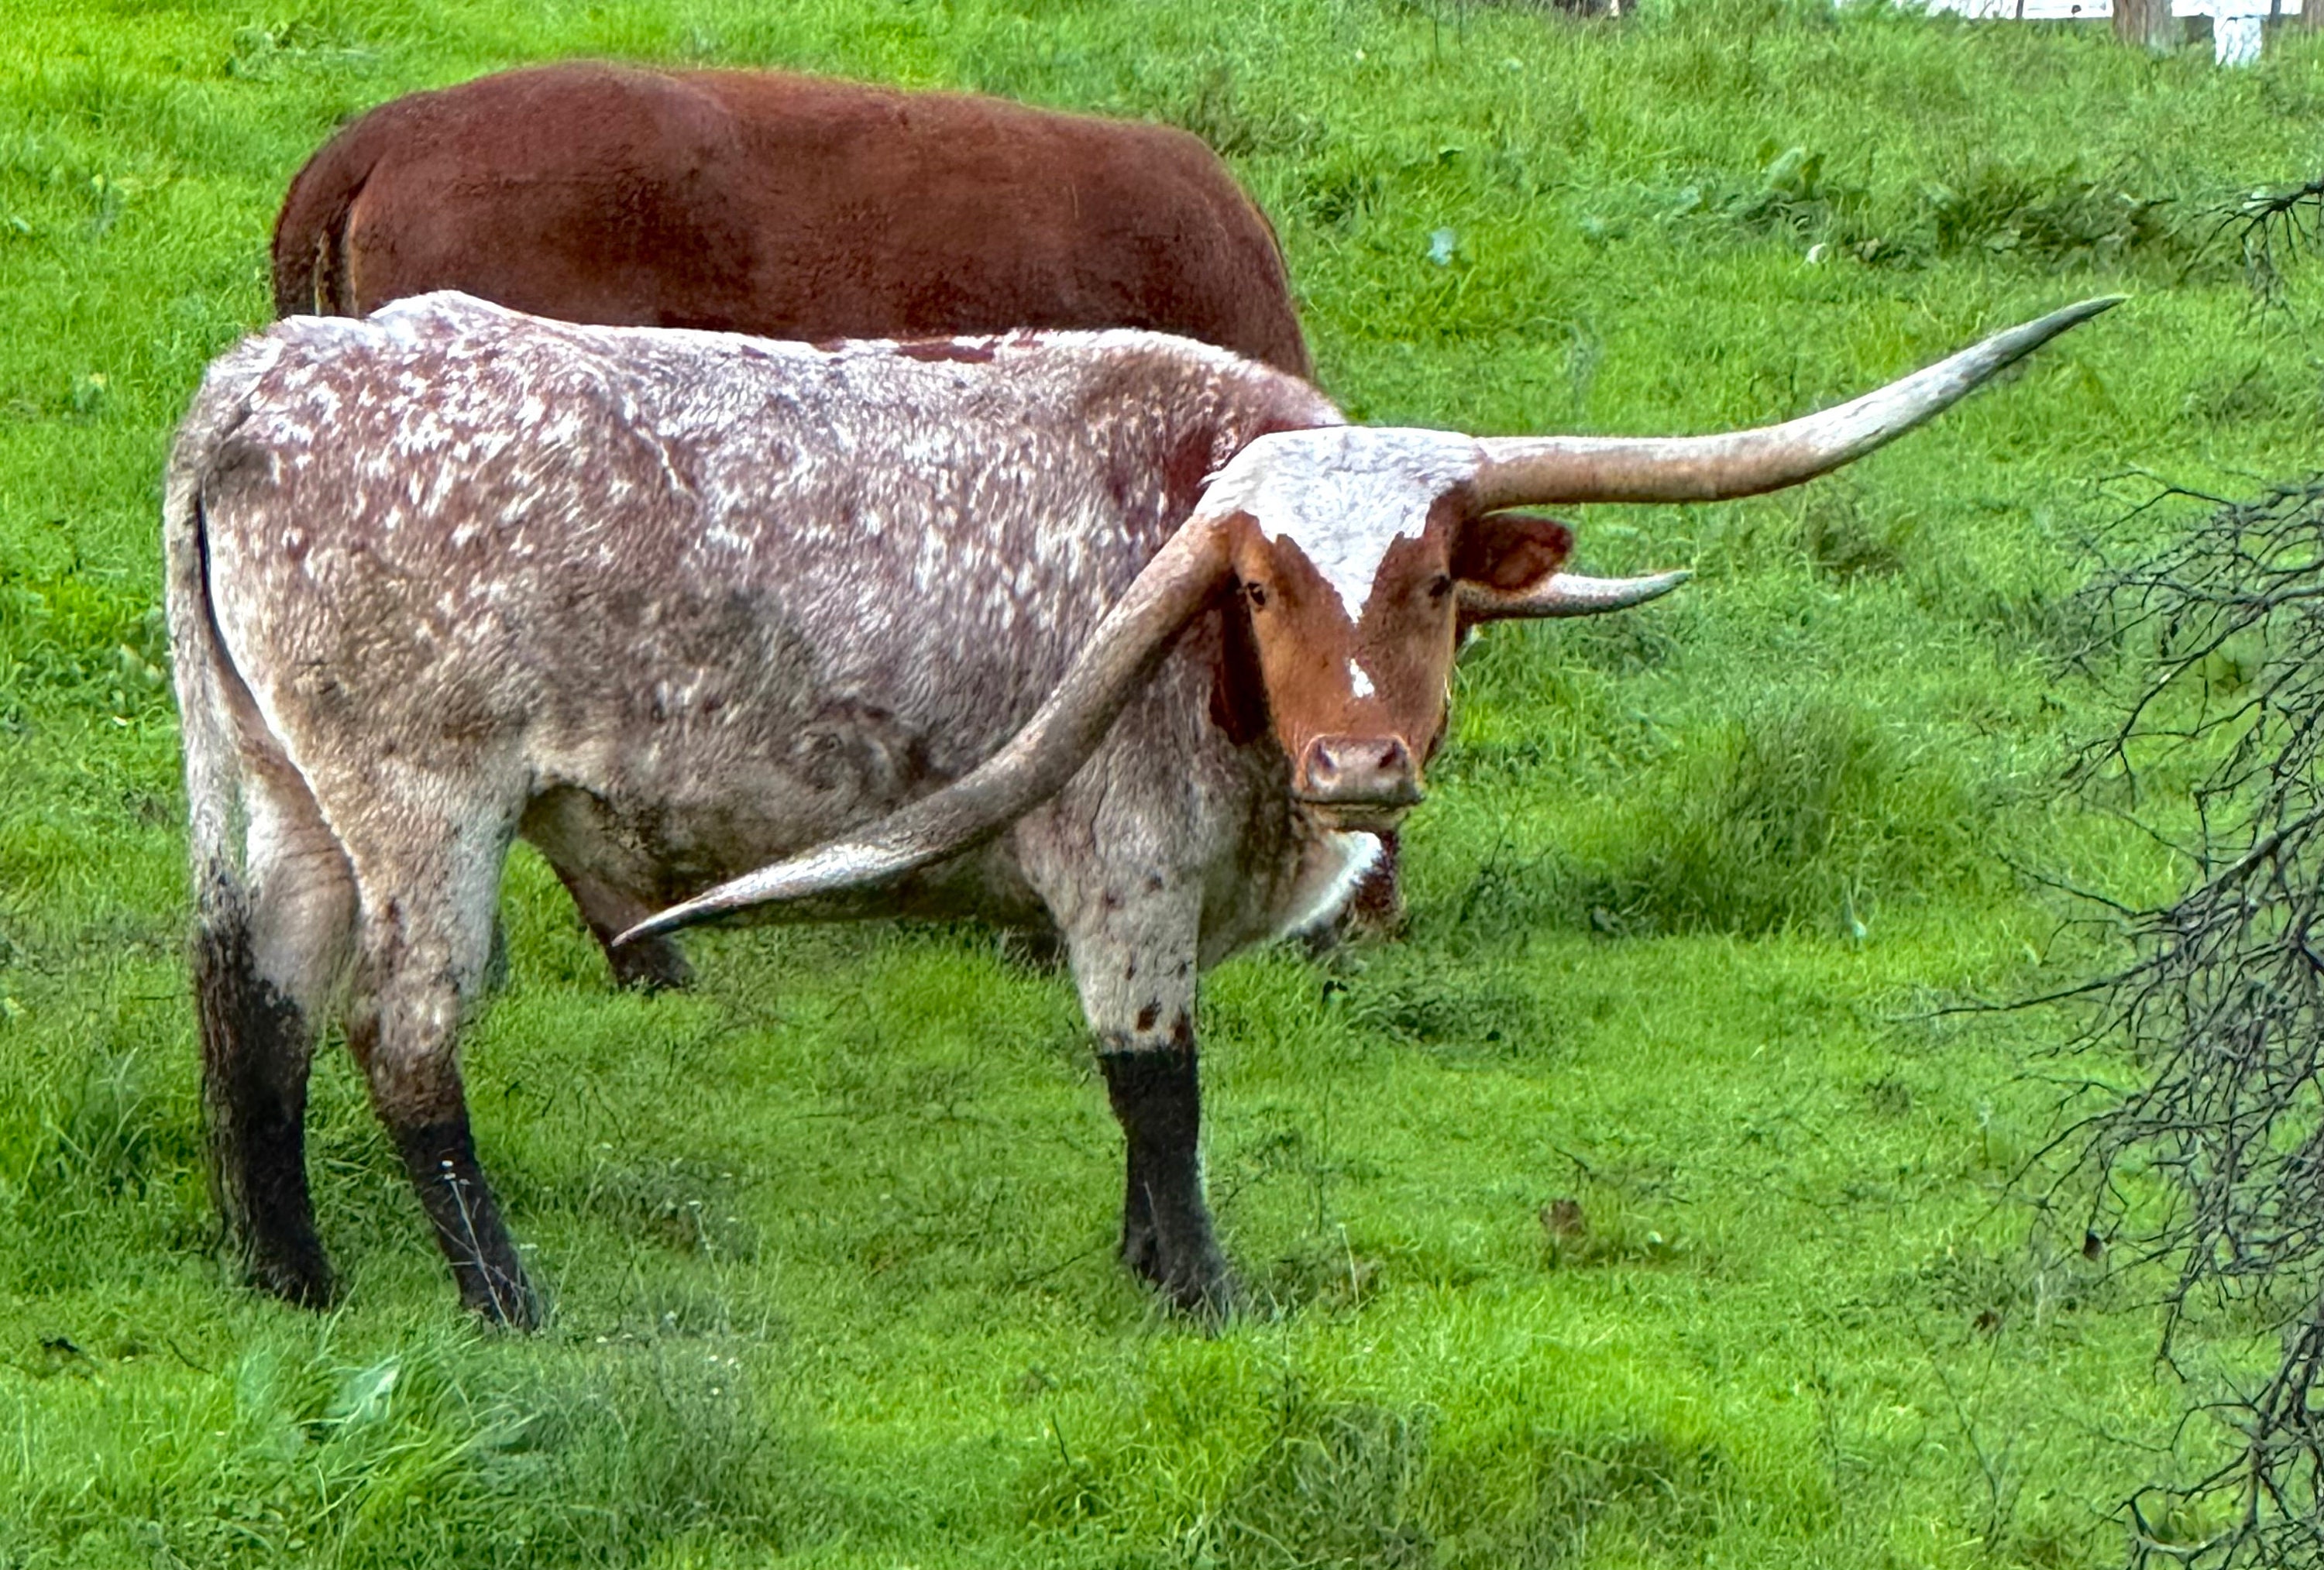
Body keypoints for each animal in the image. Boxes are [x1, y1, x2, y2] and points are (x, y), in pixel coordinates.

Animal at [167, 292, 2116, 1325]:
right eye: (1255, 586)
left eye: (1430, 578)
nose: (1359, 768)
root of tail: (265, 380)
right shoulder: (1123, 878)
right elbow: (1158, 1088)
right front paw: (1202, 1296)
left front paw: (1139, 1272)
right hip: (426, 802)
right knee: (404, 1038)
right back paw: (507, 1302)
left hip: (275, 790)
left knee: (253, 1001)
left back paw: (293, 1278)